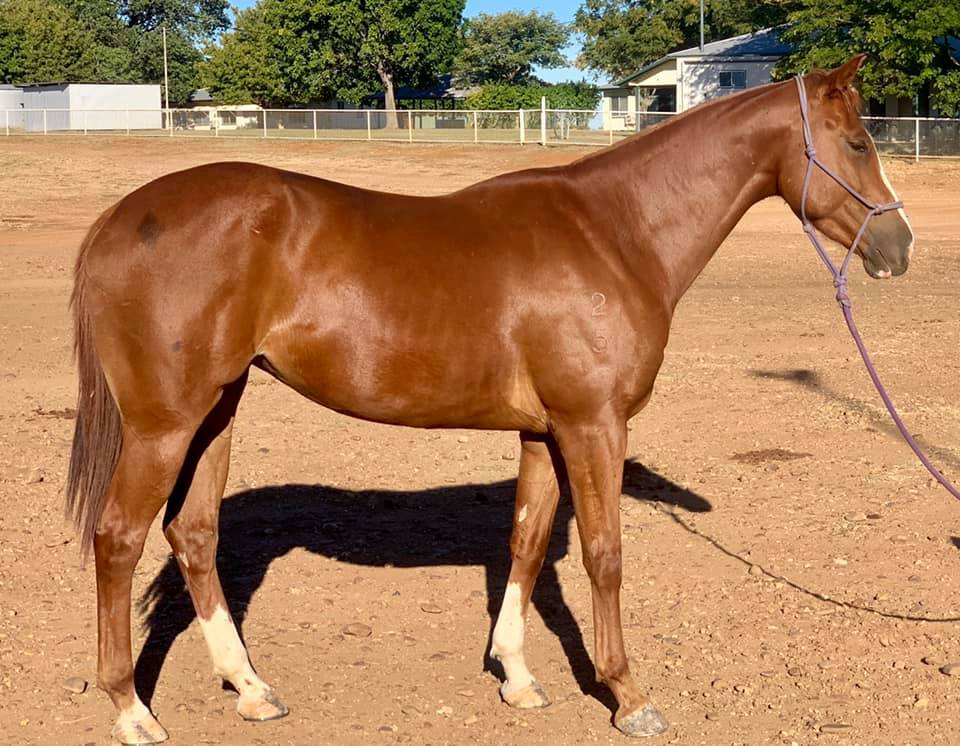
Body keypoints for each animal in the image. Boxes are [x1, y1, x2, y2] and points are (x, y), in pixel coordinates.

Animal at [66, 55, 913, 743]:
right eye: (858, 144)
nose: (899, 247)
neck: (616, 232)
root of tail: (116, 220)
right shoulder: (594, 426)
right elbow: (605, 556)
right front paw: (628, 696)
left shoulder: (544, 432)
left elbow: (527, 543)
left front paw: (519, 677)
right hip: (165, 424)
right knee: (118, 538)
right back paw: (132, 711)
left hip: (216, 410)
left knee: (194, 535)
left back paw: (250, 689)